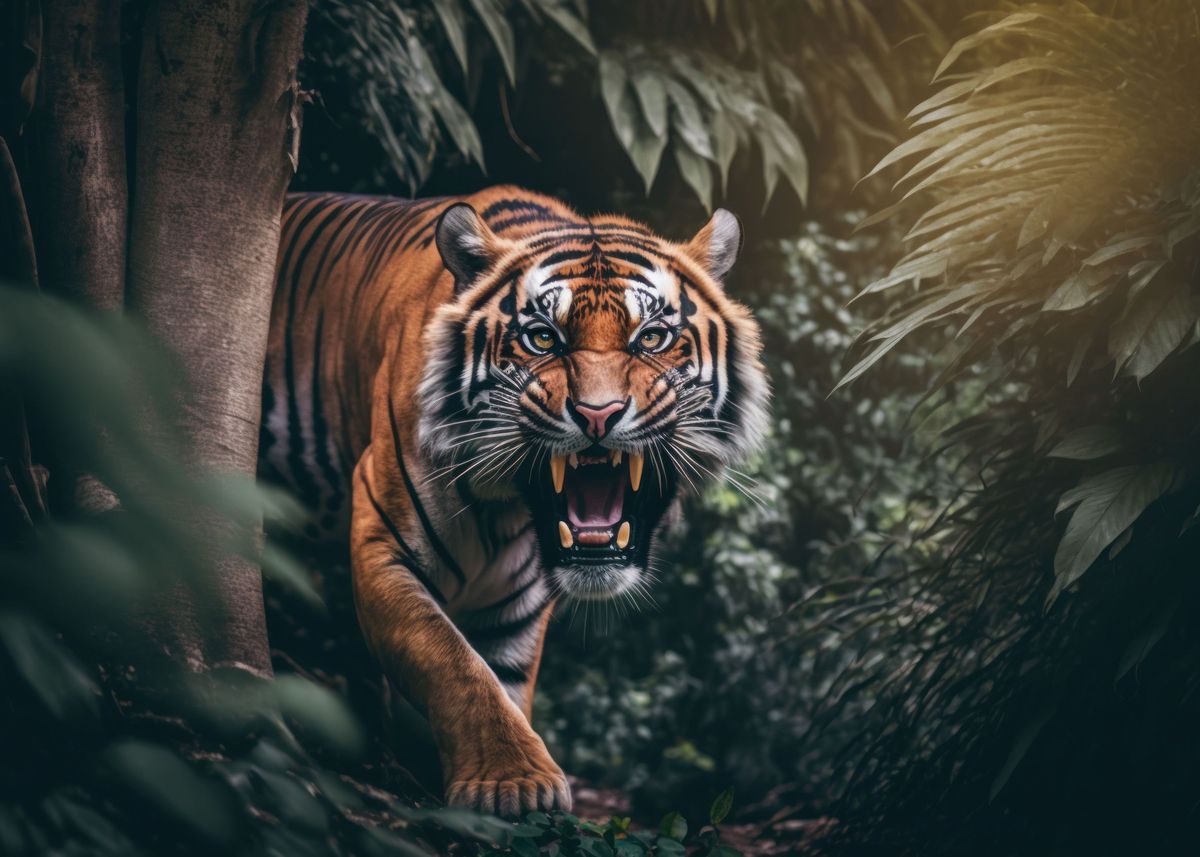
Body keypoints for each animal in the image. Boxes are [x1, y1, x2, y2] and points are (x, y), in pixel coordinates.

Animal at [259, 187, 770, 815]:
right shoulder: (384, 542)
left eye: (651, 337)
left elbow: (502, 679)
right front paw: (513, 781)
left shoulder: (521, 603)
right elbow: (451, 661)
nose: (598, 414)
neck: (502, 507)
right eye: (543, 338)